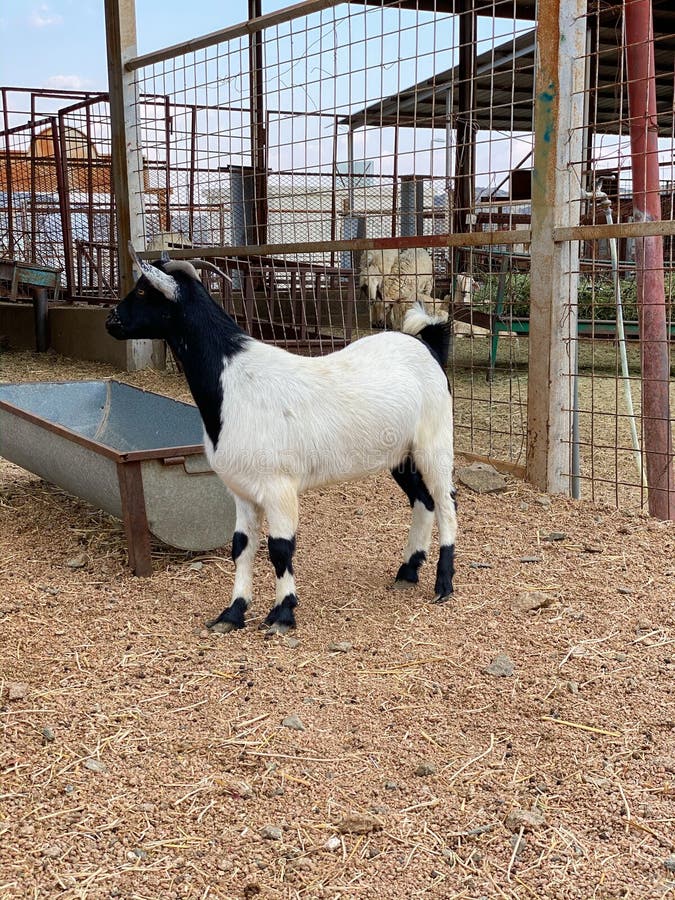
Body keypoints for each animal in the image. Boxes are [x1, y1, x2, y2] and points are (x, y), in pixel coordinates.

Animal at [106, 249, 458, 636]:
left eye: (142, 290)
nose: (111, 321)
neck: (232, 381)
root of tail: (429, 345)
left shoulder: (279, 487)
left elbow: (280, 548)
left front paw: (283, 613)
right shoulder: (240, 490)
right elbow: (242, 546)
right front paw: (232, 613)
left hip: (435, 441)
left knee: (446, 503)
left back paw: (444, 584)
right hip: (400, 455)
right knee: (424, 500)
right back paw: (408, 571)